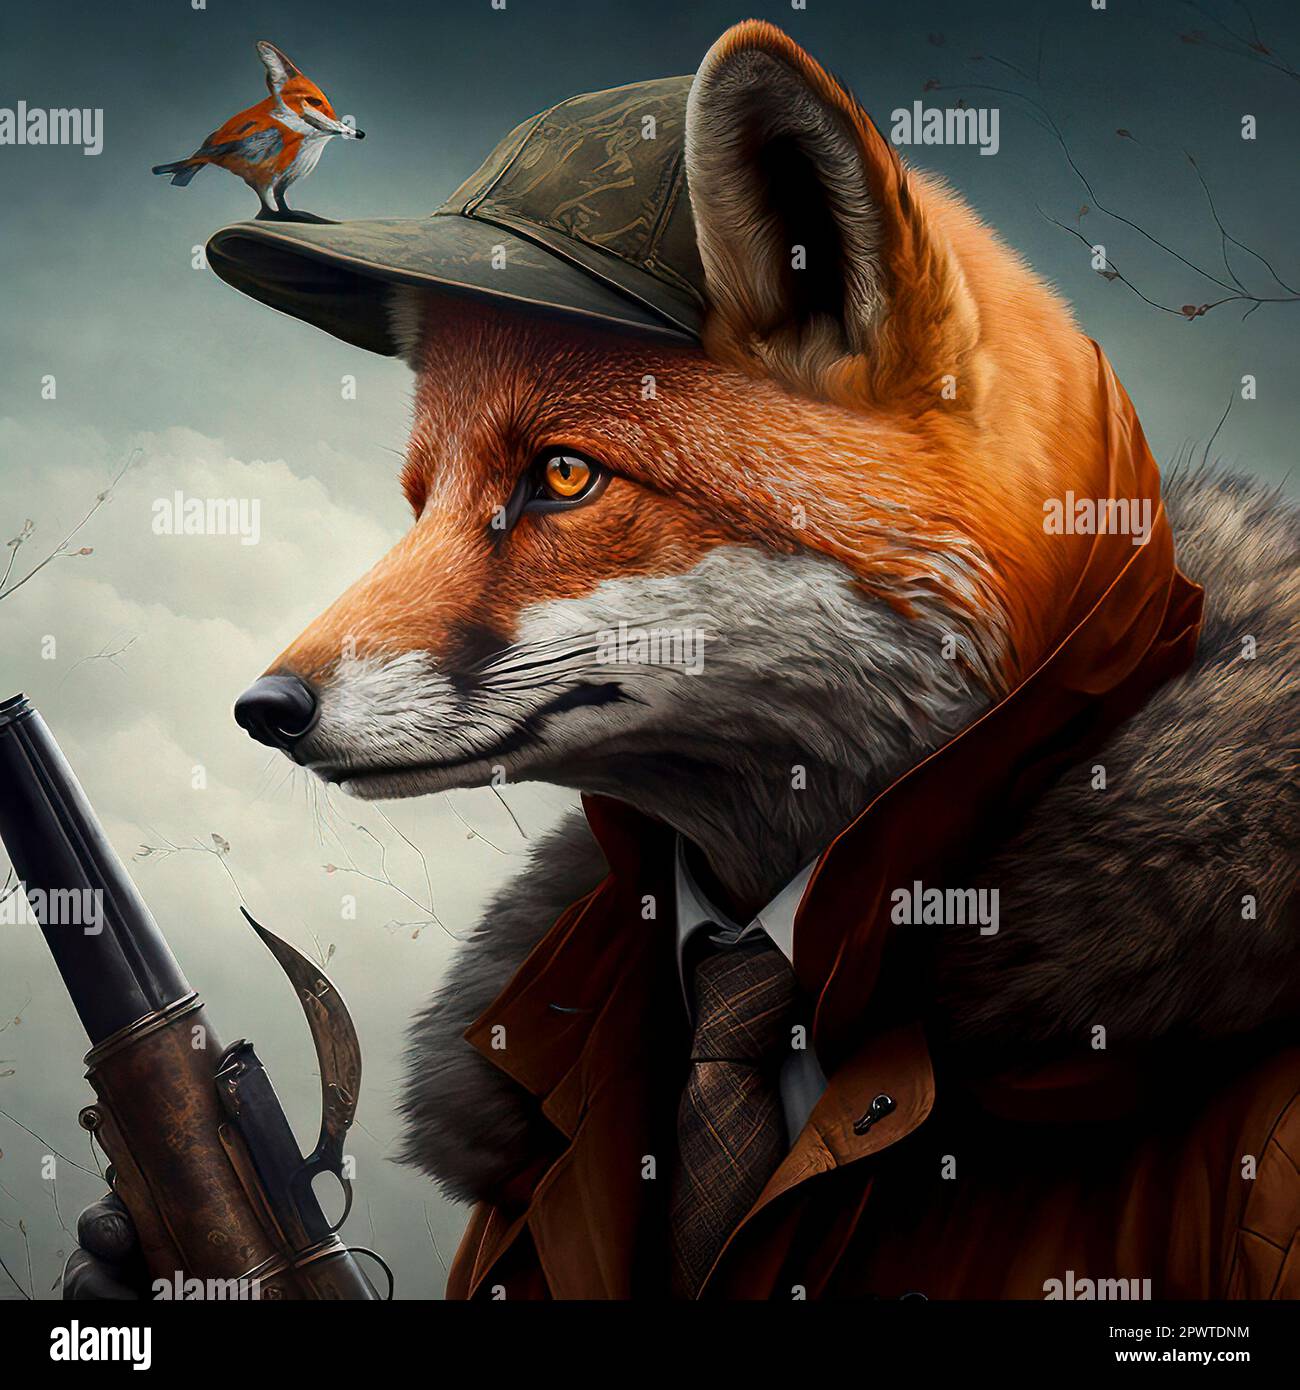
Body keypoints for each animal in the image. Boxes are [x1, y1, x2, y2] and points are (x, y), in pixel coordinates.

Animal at [151, 40, 363, 222]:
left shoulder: (286, 176)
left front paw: (291, 214)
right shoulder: (263, 176)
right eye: (314, 101)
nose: (359, 133)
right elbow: (268, 201)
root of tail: (202, 149)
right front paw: (276, 216)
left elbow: (280, 198)